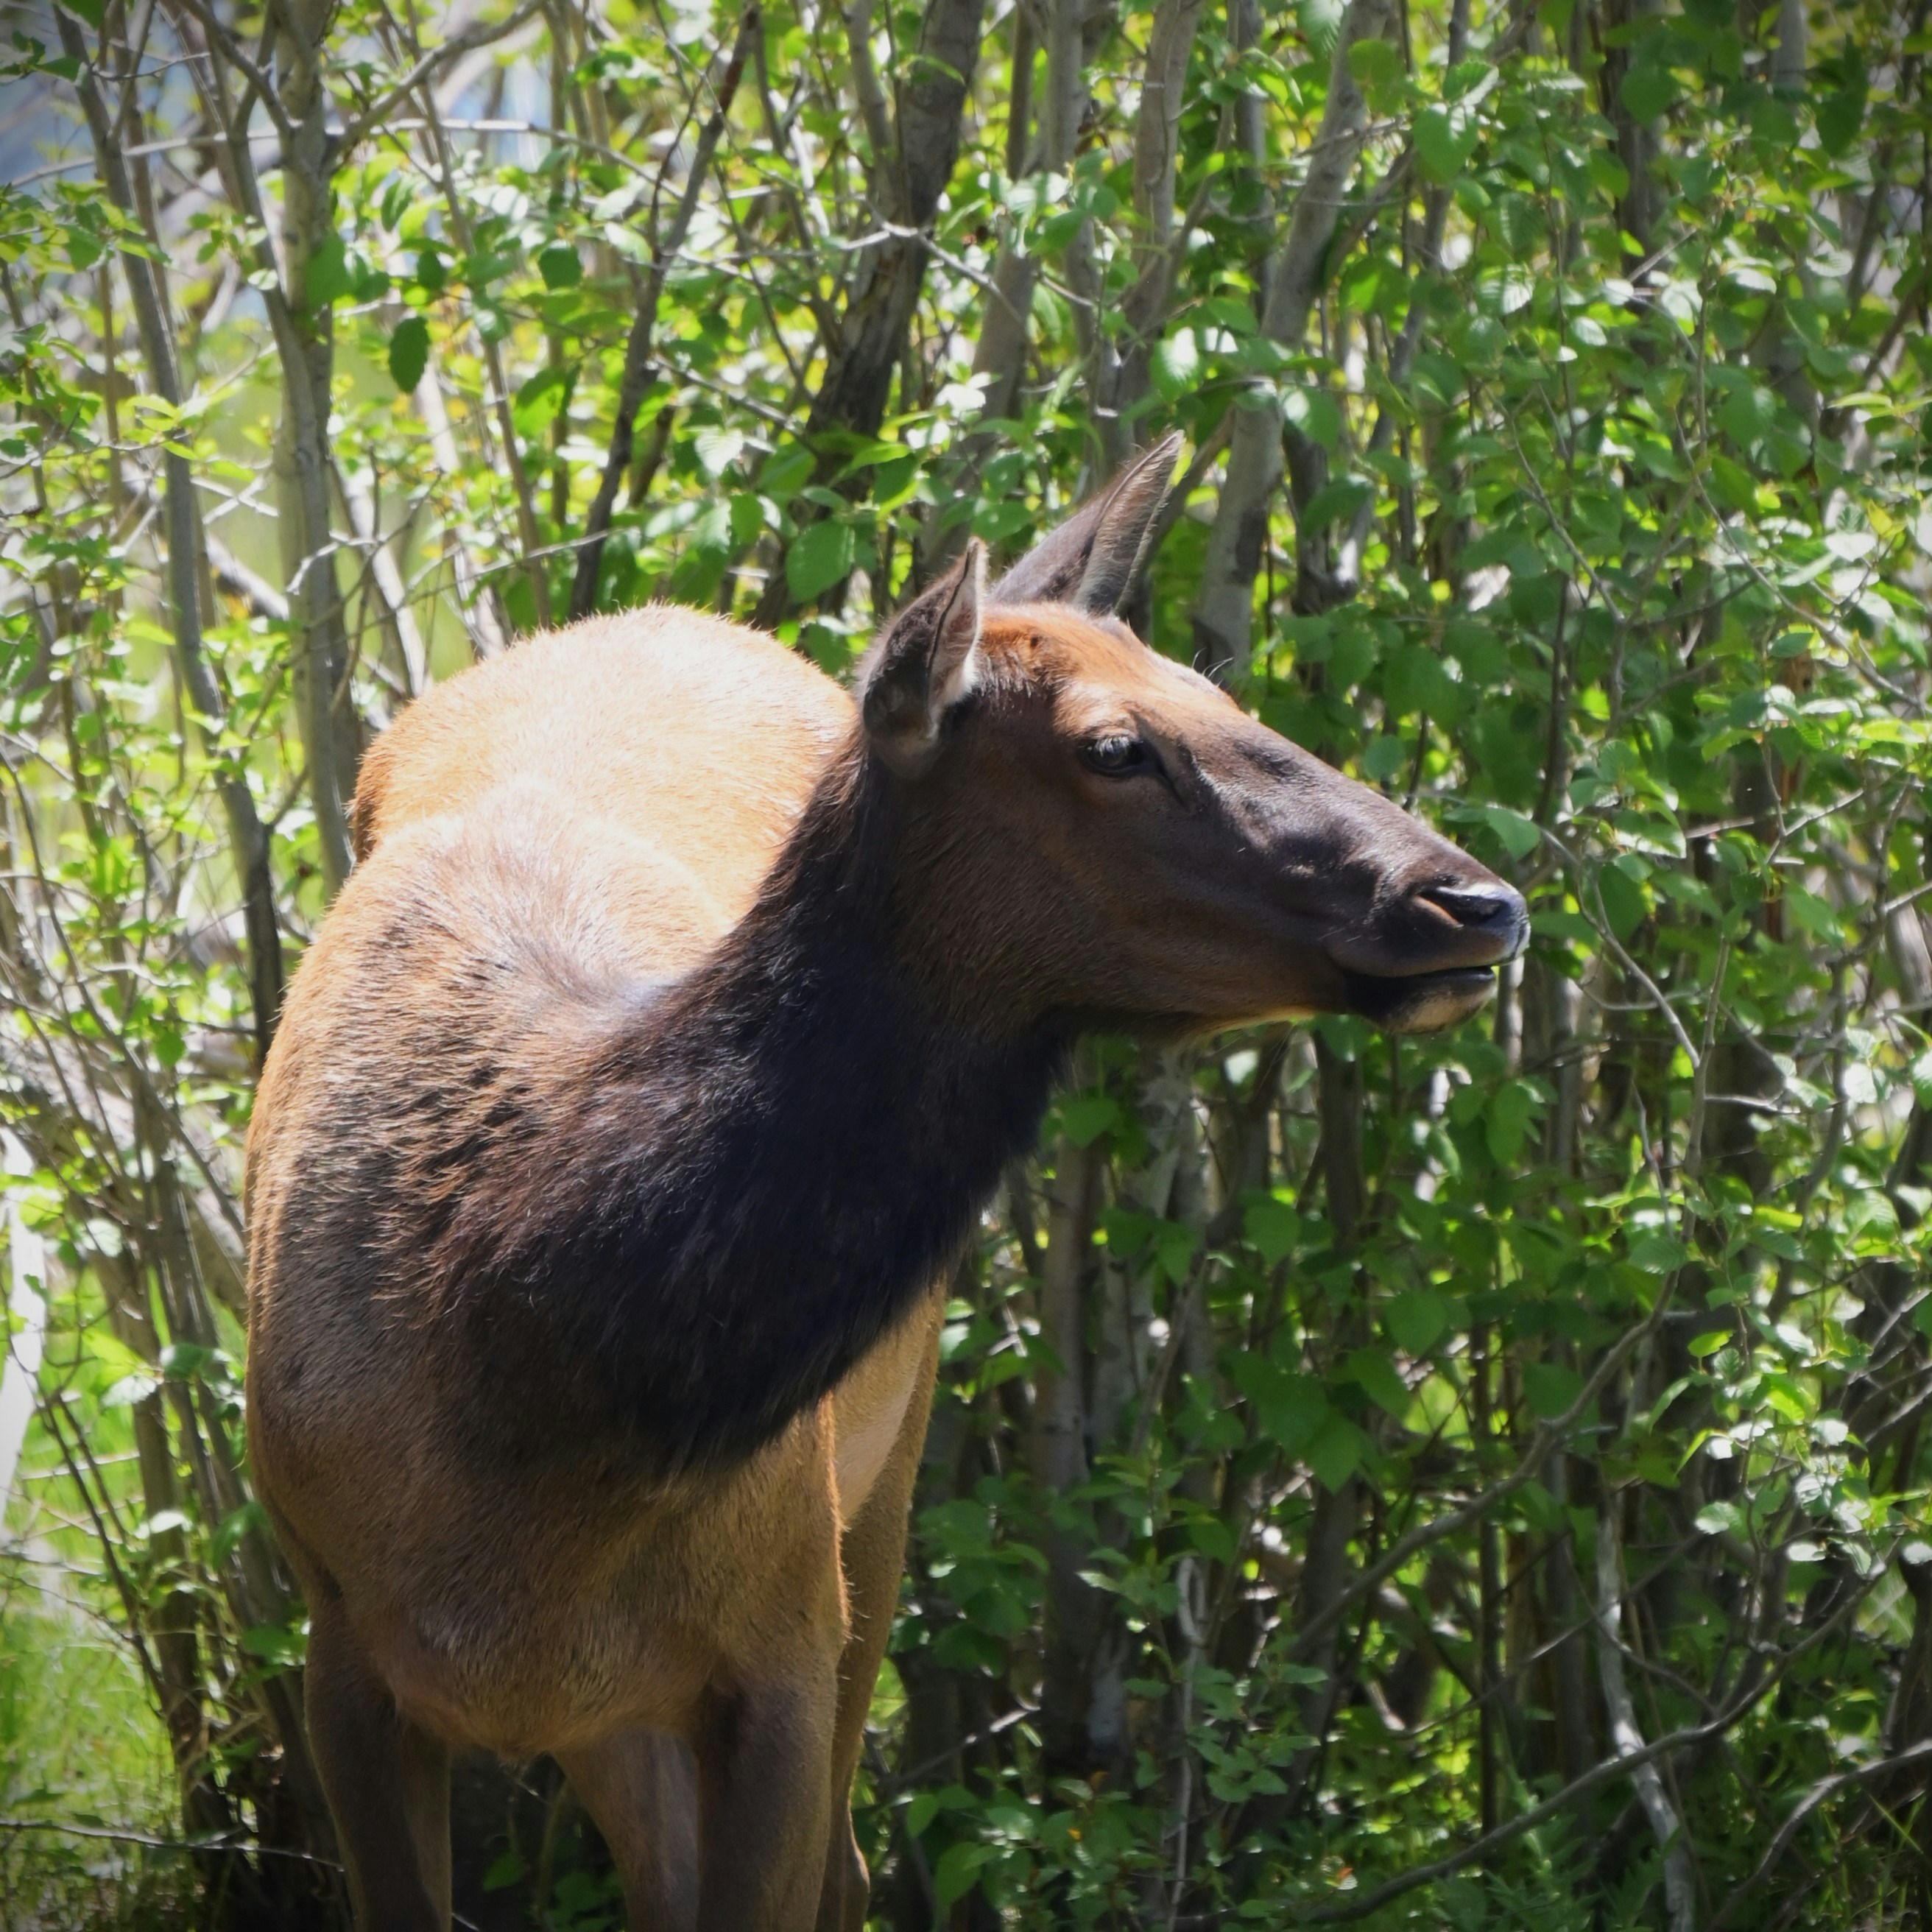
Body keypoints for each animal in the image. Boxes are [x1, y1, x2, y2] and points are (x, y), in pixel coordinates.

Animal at [244, 436, 1526, 1931]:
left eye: (1216, 689)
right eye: (1114, 746)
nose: (1471, 899)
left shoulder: (781, 1637)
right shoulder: (338, 1641)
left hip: (877, 1483)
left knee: (845, 1863)